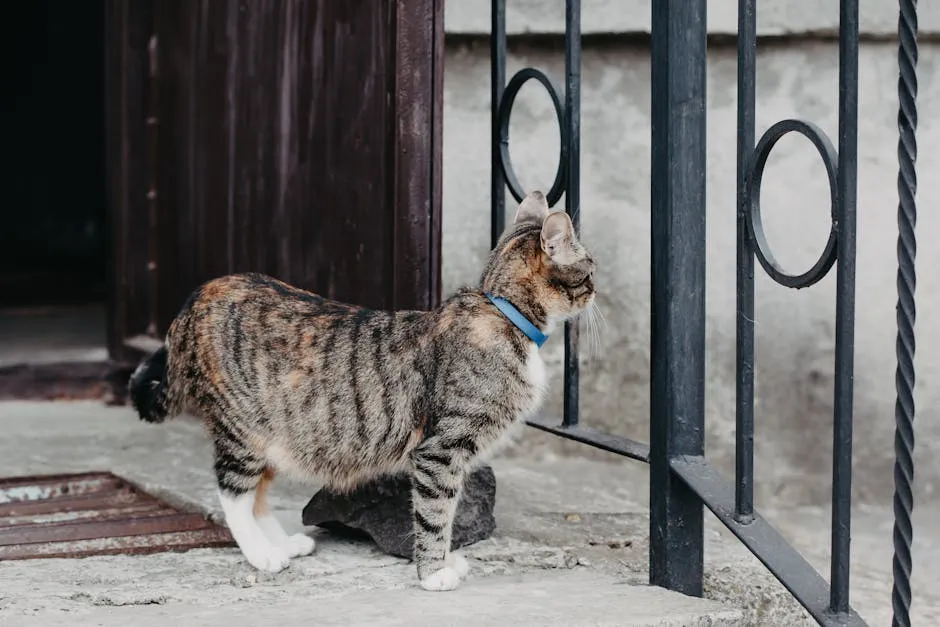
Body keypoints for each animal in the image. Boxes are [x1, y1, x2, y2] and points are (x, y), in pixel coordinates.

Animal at [126, 189, 596, 592]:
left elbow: (447, 512)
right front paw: (433, 572)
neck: (504, 312)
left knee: (257, 493)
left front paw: (444, 561)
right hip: (243, 430)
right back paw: (262, 554)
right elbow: (435, 514)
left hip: (280, 432)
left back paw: (282, 544)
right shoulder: (440, 451)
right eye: (589, 268)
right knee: (233, 493)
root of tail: (200, 294)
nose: (597, 287)